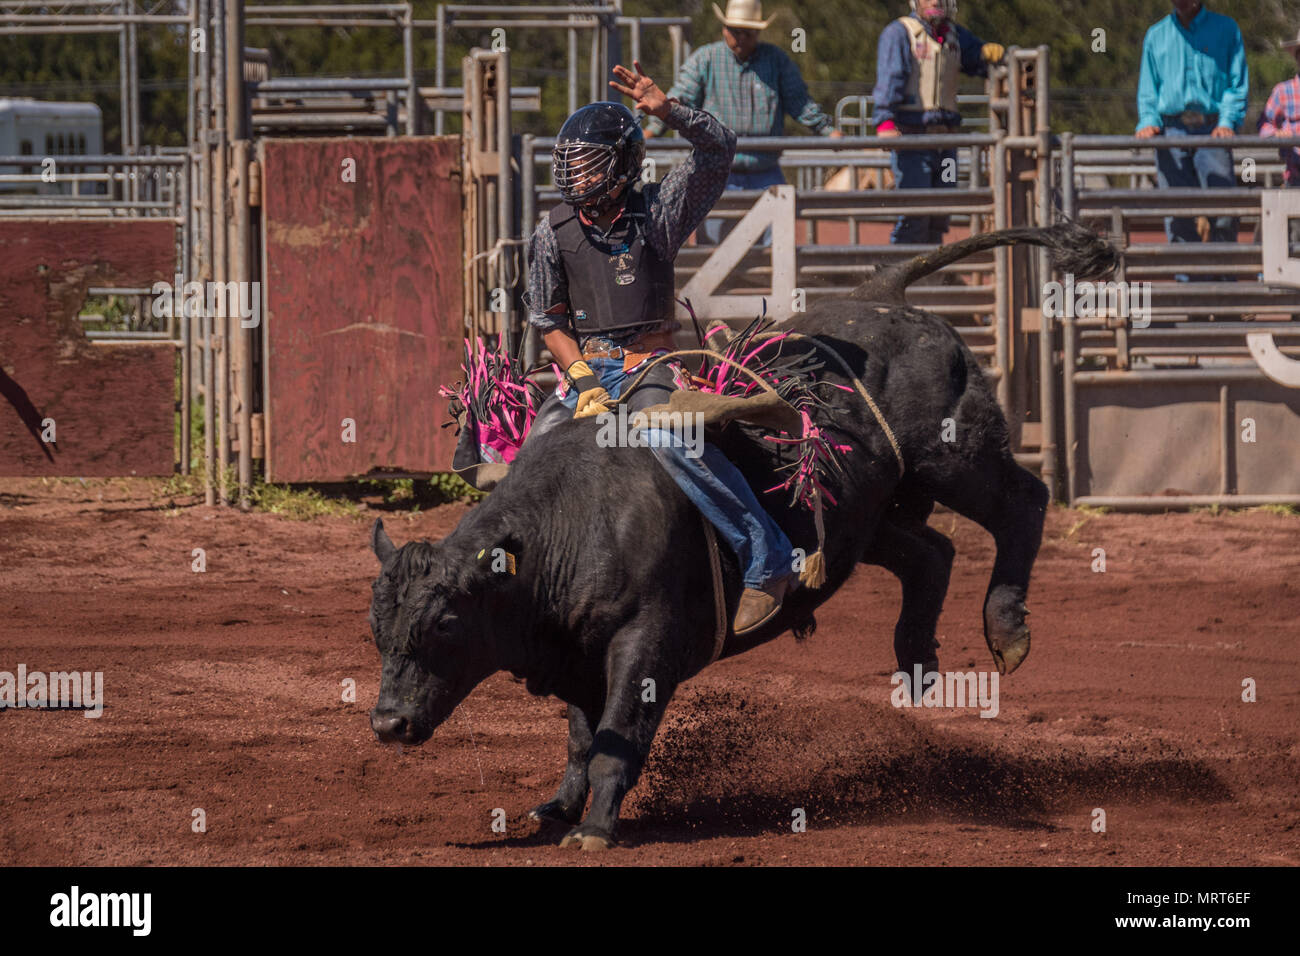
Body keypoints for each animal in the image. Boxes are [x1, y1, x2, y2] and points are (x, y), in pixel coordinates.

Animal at [368, 222, 1118, 850]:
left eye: (444, 623)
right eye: (378, 629)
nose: (387, 724)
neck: (576, 524)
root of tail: (879, 296)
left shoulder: (646, 641)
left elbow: (616, 737)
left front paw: (597, 828)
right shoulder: (576, 654)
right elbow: (583, 739)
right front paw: (557, 808)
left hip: (957, 457)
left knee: (1023, 504)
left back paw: (1006, 629)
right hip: (867, 518)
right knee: (931, 553)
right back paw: (915, 661)